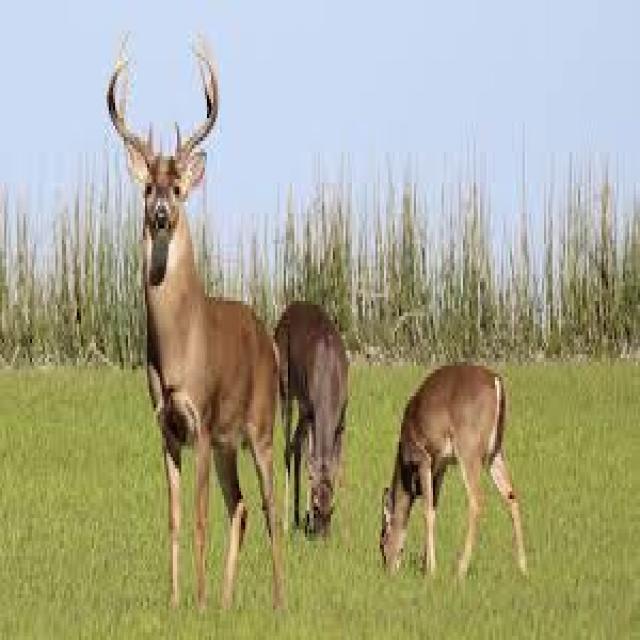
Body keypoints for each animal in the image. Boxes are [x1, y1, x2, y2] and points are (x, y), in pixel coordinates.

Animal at [106, 42, 284, 610]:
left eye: (180, 187)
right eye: (148, 189)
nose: (162, 213)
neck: (180, 349)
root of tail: (267, 337)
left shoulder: (202, 419)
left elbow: (202, 517)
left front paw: (200, 602)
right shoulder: (165, 426)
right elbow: (176, 517)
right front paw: (178, 600)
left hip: (261, 425)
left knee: (270, 508)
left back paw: (278, 601)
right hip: (231, 443)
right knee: (241, 507)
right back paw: (229, 600)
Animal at [274, 302, 348, 537]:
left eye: (332, 508)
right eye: (316, 506)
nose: (323, 535)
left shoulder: (341, 419)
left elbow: (335, 464)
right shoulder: (312, 412)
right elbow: (311, 461)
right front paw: (307, 520)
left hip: (303, 408)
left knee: (296, 444)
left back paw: (297, 517)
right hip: (286, 389)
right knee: (288, 447)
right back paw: (287, 521)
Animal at [379, 364, 527, 578]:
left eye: (382, 541)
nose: (388, 570)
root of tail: (496, 382)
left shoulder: (423, 458)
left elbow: (427, 512)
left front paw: (431, 570)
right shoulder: (441, 465)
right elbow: (434, 507)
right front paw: (425, 563)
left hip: (468, 447)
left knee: (476, 500)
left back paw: (461, 569)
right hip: (495, 451)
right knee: (511, 496)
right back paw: (523, 567)